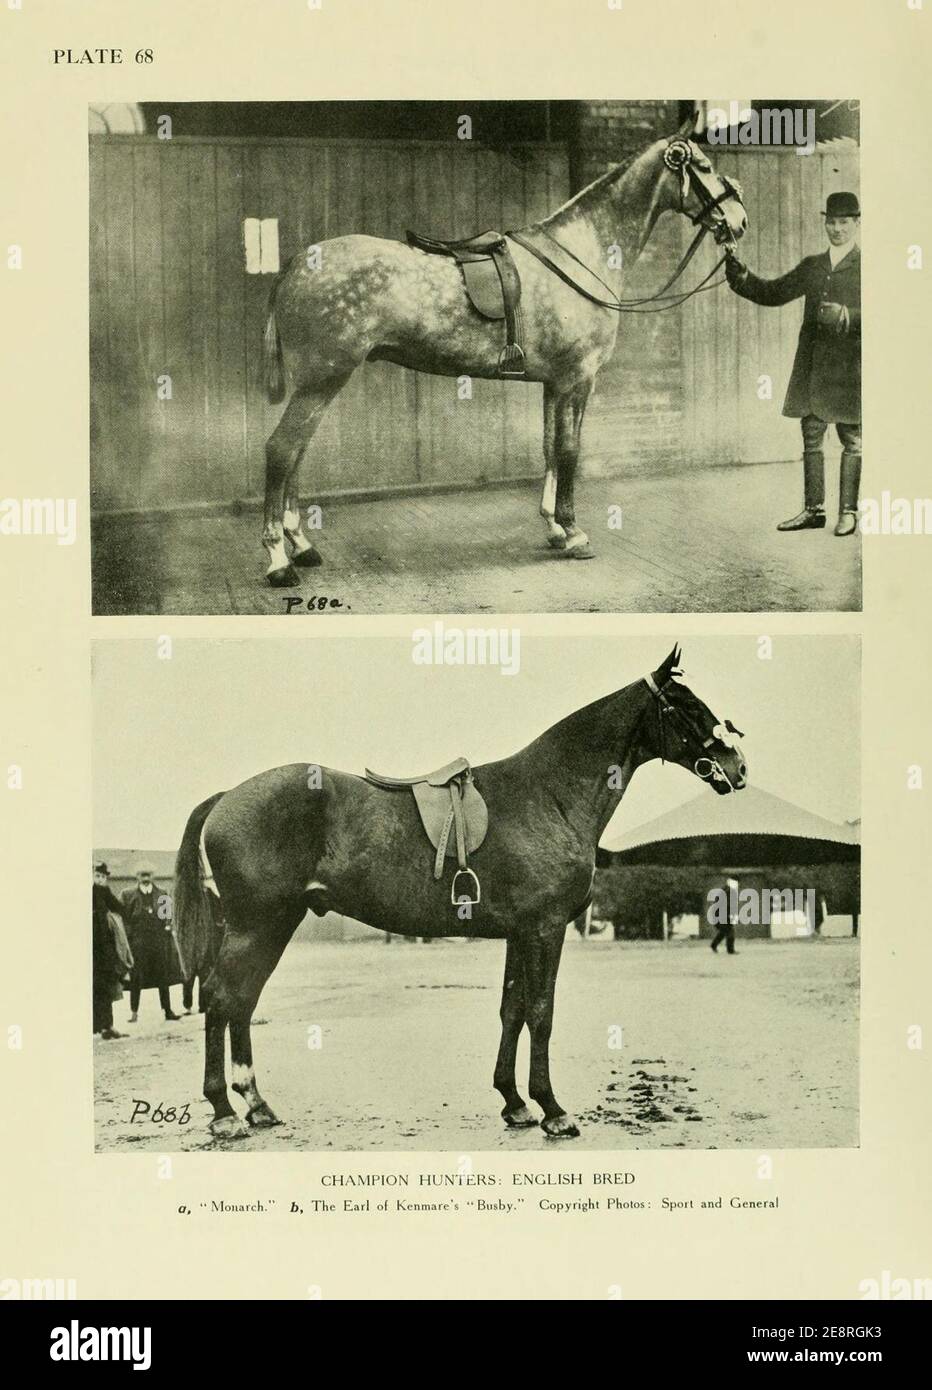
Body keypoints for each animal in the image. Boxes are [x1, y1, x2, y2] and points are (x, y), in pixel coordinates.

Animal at [172, 645, 747, 1141]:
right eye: (686, 706)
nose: (738, 767)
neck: (550, 794)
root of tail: (227, 797)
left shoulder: (521, 933)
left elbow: (512, 1009)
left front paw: (514, 1103)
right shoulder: (545, 930)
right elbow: (541, 1011)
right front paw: (553, 1110)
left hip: (275, 923)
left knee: (242, 1000)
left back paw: (257, 1106)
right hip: (256, 924)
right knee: (221, 998)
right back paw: (224, 1112)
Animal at [257, 127, 747, 585]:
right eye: (703, 166)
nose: (739, 221)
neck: (580, 252)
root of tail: (297, 263)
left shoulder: (553, 383)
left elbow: (549, 448)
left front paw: (553, 527)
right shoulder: (578, 379)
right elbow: (570, 451)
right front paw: (574, 532)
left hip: (318, 384)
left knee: (297, 451)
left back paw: (302, 545)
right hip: (323, 380)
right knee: (282, 450)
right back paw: (279, 560)